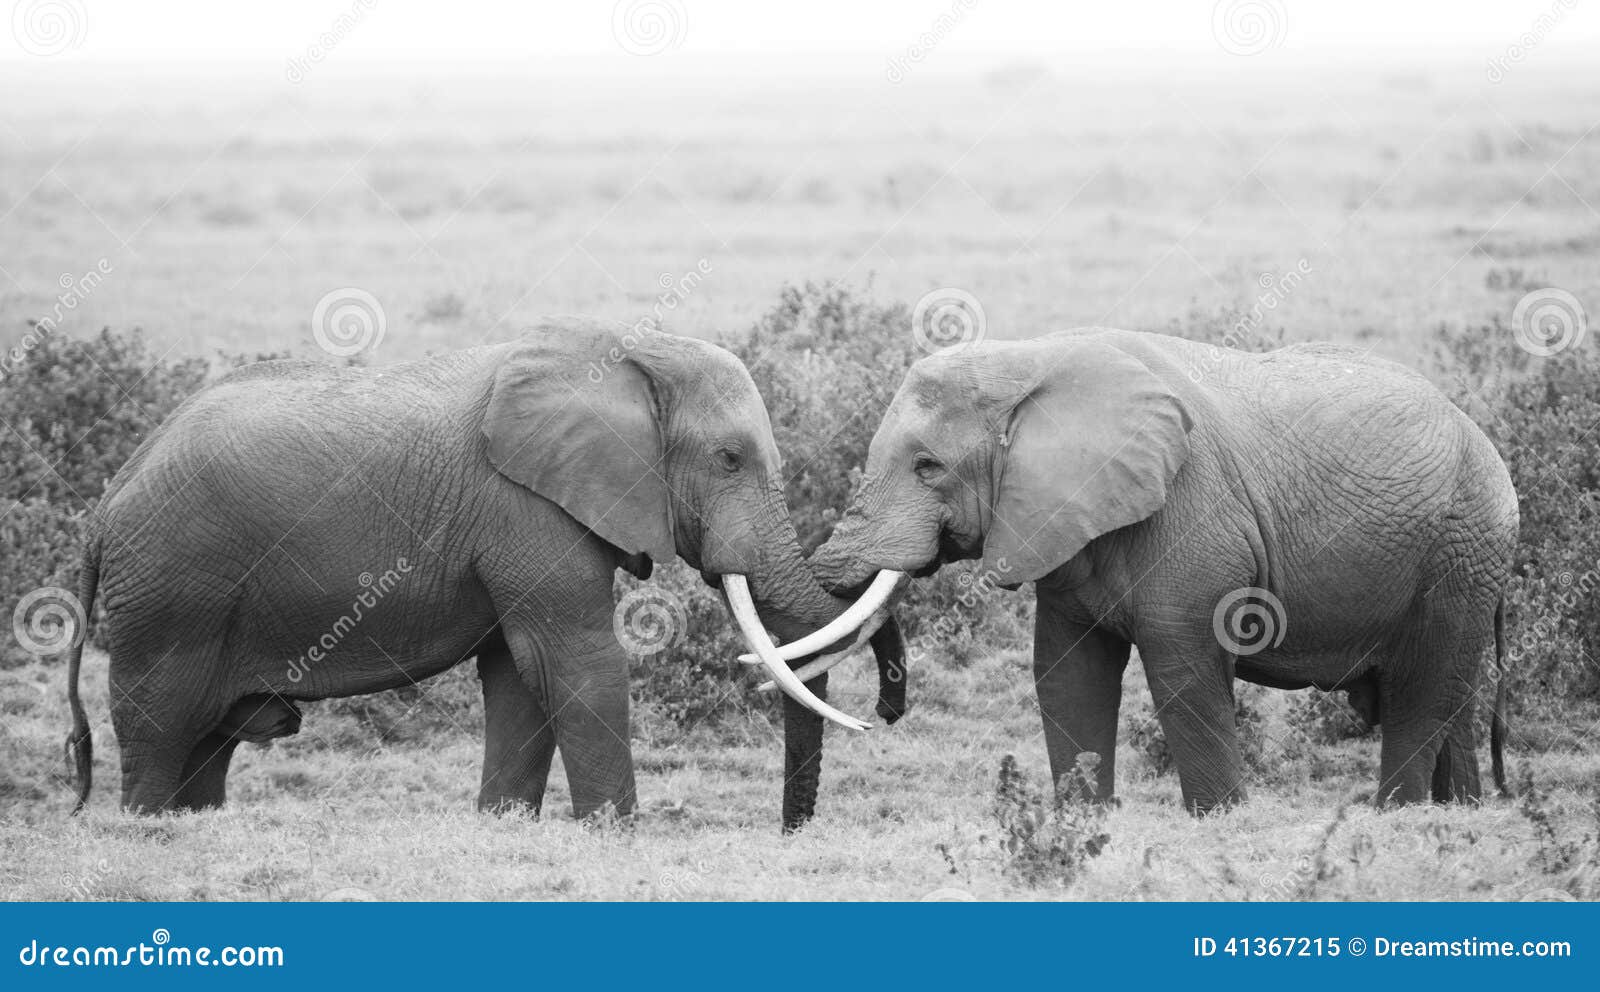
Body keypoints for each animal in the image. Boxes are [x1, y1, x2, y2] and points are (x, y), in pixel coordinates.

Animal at [62, 318, 905, 829]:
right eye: (729, 459)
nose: (792, 832)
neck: (627, 348)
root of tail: (103, 509)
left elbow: (517, 674)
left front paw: (505, 825)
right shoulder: (525, 508)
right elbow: (574, 660)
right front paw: (617, 833)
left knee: (208, 740)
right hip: (171, 589)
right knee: (161, 721)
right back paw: (148, 829)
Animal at [806, 327, 1517, 813]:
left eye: (928, 467)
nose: (883, 713)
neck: (1030, 358)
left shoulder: (1192, 514)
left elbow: (1183, 670)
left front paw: (1220, 817)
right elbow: (1068, 674)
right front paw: (1083, 819)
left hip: (1463, 549)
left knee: (1423, 689)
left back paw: (1395, 813)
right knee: (1452, 692)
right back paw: (1460, 810)